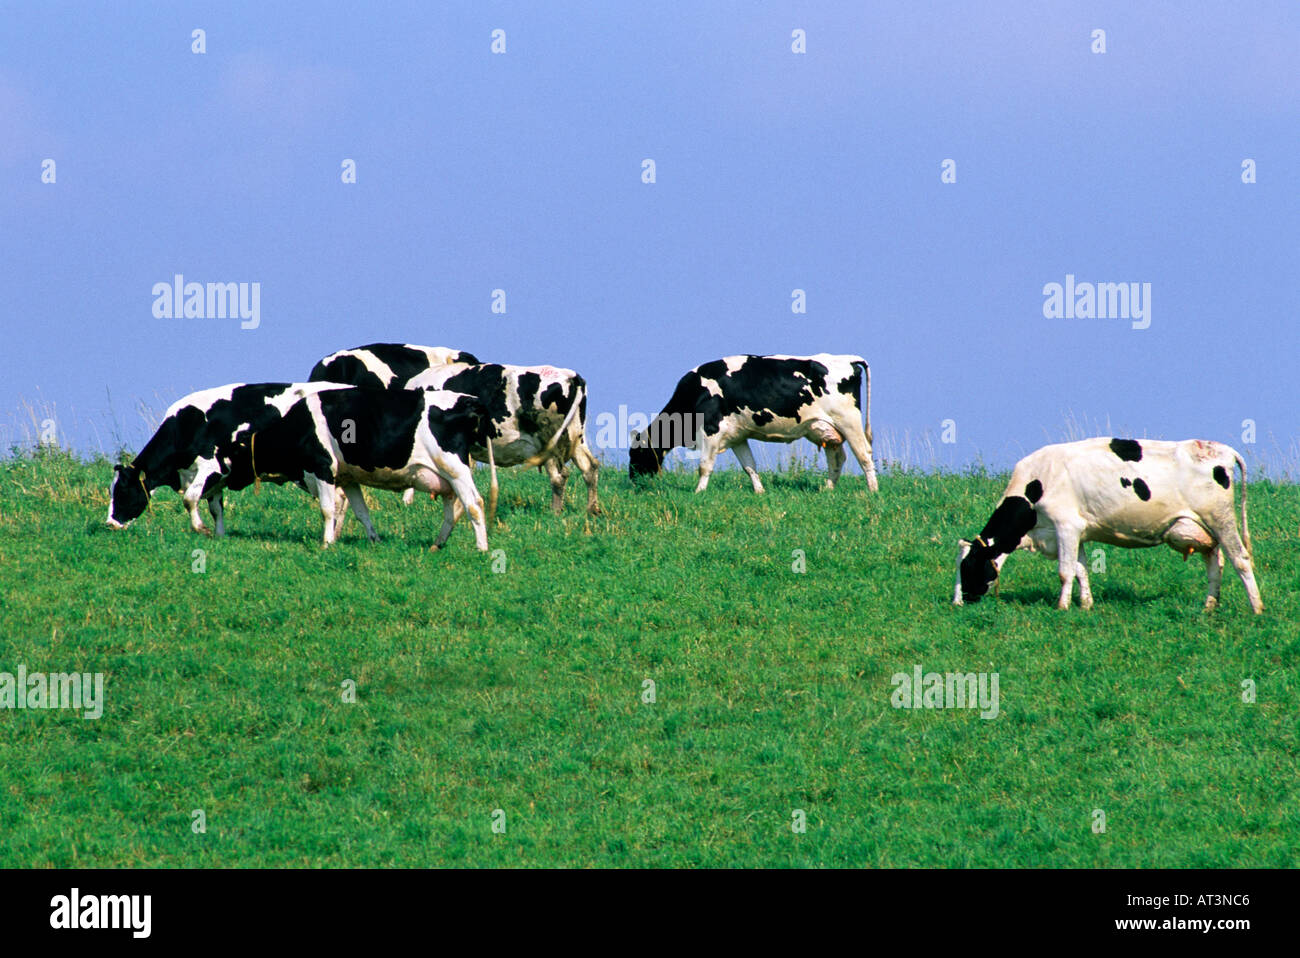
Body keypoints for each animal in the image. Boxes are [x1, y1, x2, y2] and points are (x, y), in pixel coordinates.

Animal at [106, 382, 347, 535]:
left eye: (123, 491)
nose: (109, 524)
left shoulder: (214, 467)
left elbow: (190, 499)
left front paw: (201, 529)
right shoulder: (215, 479)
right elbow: (216, 508)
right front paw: (219, 535)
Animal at [225, 386, 496, 550]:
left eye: (235, 453)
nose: (228, 480)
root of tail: (469, 399)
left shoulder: (322, 467)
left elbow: (327, 510)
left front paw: (326, 544)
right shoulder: (348, 478)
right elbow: (361, 512)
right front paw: (374, 540)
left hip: (454, 467)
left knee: (474, 503)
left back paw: (481, 548)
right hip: (445, 477)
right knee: (452, 509)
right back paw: (436, 545)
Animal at [628, 353, 878, 494]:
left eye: (635, 454)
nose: (632, 481)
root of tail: (847, 358)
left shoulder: (711, 430)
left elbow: (704, 466)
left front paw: (698, 492)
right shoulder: (737, 437)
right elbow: (749, 466)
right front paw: (759, 491)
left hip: (849, 421)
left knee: (864, 455)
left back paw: (872, 491)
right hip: (827, 429)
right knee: (837, 459)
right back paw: (827, 489)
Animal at [954, 438, 1263, 613]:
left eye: (968, 567)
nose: (959, 601)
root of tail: (1222, 449)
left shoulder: (1066, 525)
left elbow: (1065, 572)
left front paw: (1062, 607)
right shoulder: (1075, 532)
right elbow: (1081, 570)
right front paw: (1086, 605)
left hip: (1220, 518)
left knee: (1240, 558)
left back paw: (1256, 608)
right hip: (1202, 529)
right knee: (1215, 563)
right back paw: (1209, 607)